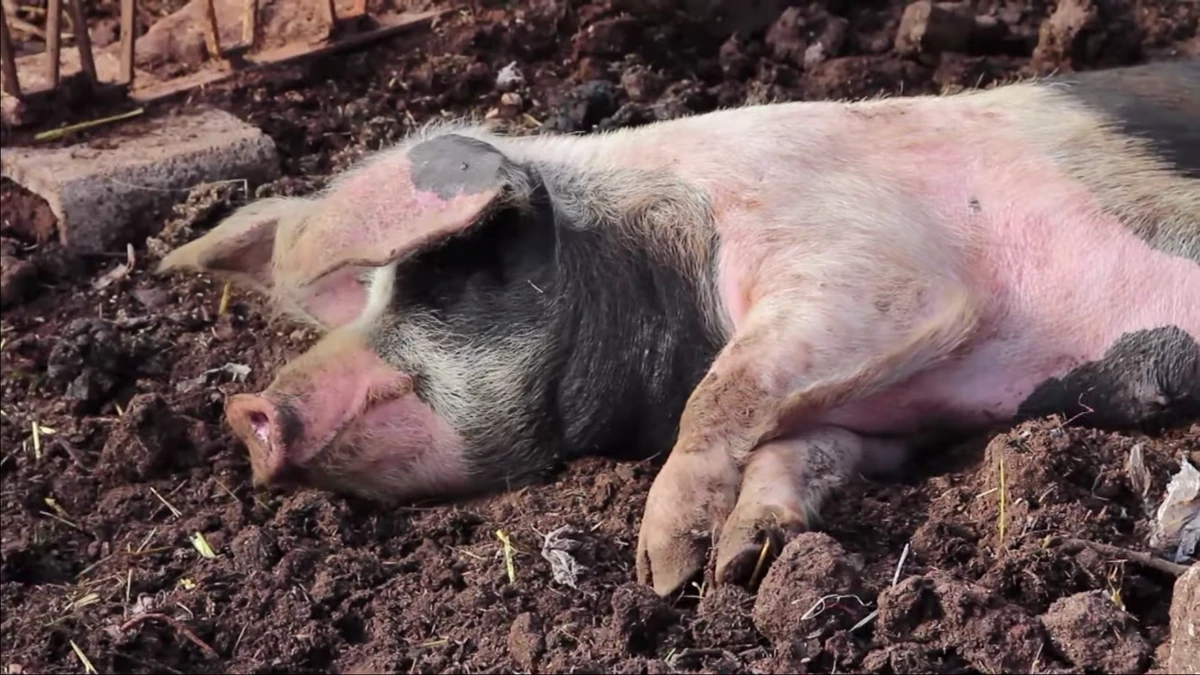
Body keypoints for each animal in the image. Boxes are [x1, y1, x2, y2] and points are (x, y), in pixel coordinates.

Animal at [157, 58, 1200, 598]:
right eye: (362, 298)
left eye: (441, 276)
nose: (247, 410)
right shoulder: (880, 416)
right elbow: (797, 447)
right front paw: (742, 558)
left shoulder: (881, 270)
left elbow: (729, 388)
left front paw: (661, 565)